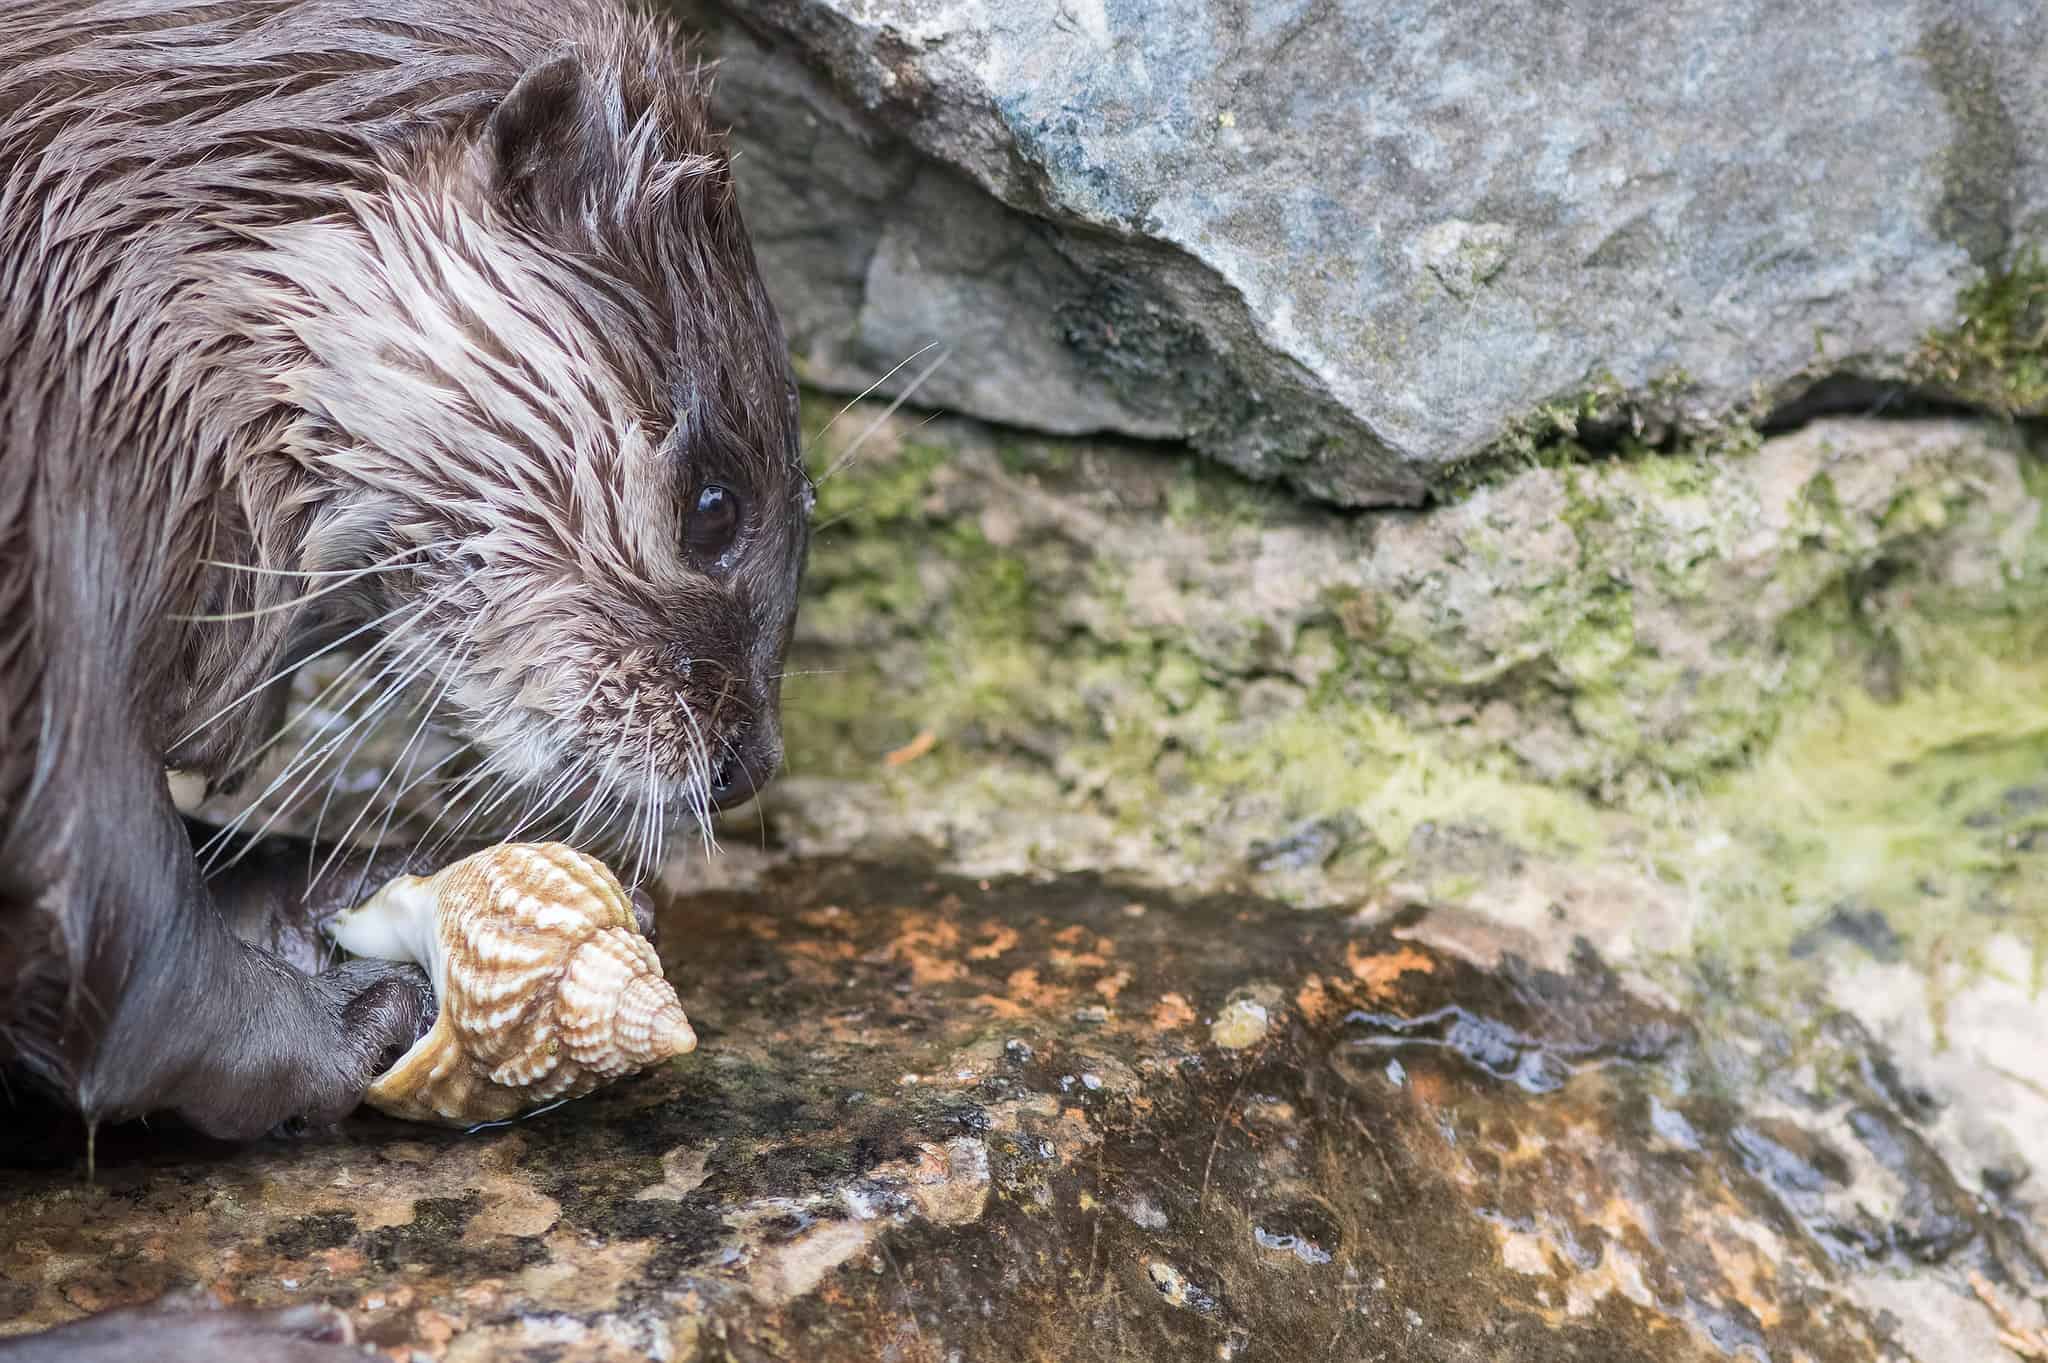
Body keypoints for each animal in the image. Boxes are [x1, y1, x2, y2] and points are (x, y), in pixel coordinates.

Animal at [0, 0, 808, 1354]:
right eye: (713, 505)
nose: (748, 762)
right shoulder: (62, 457)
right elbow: (105, 908)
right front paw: (342, 1022)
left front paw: (315, 888)